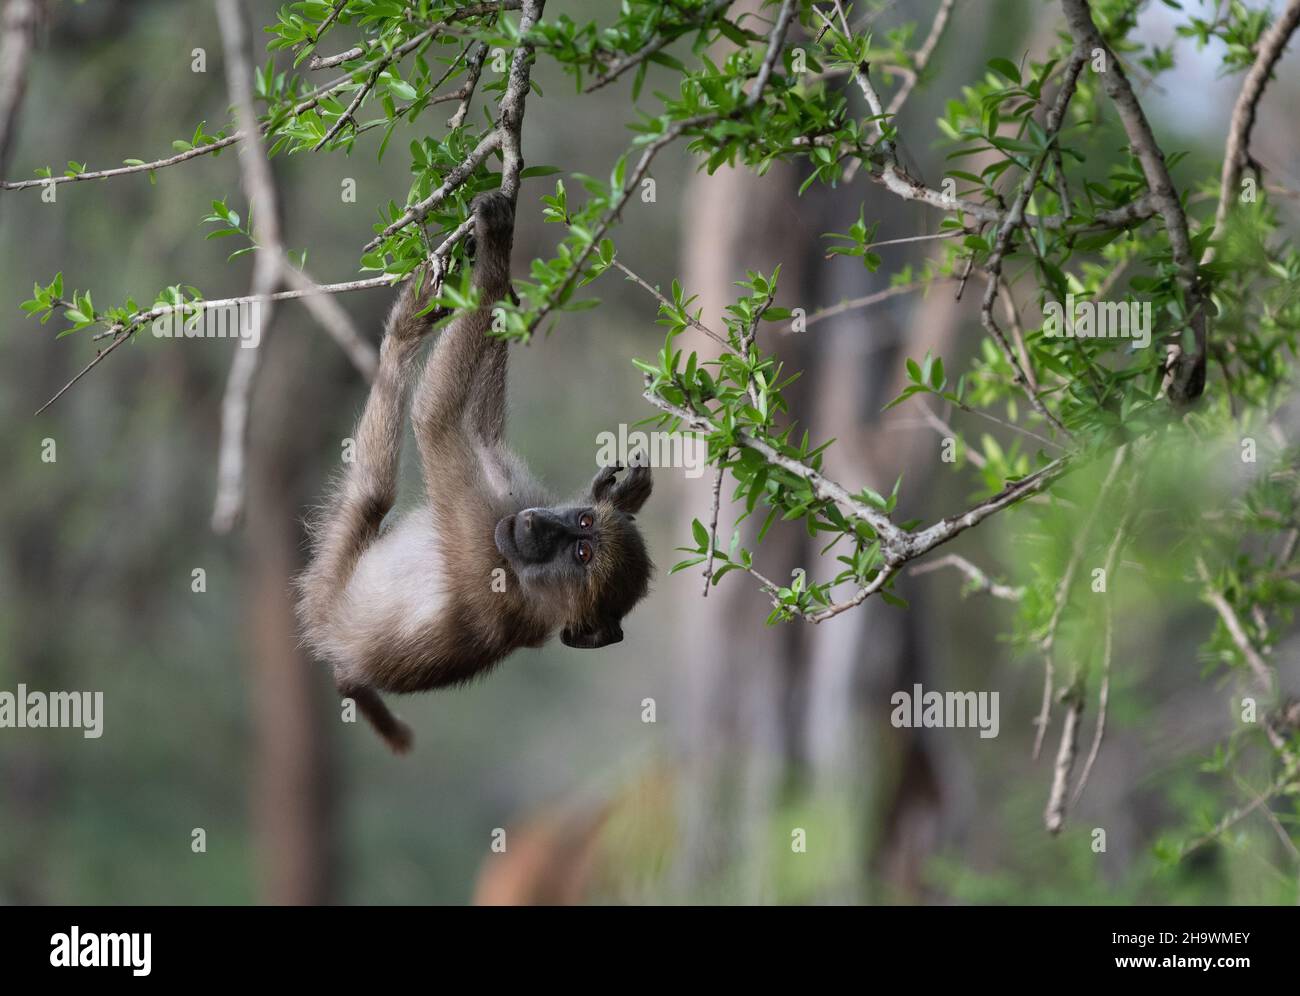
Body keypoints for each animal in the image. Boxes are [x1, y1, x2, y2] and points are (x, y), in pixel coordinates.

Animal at [296, 191, 654, 754]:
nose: (537, 524)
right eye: (583, 527)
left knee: (373, 491)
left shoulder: (485, 546)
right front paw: (617, 494)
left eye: (582, 556)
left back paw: (405, 329)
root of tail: (338, 654)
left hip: (328, 577)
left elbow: (438, 419)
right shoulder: (508, 501)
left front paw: (495, 242)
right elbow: (480, 428)